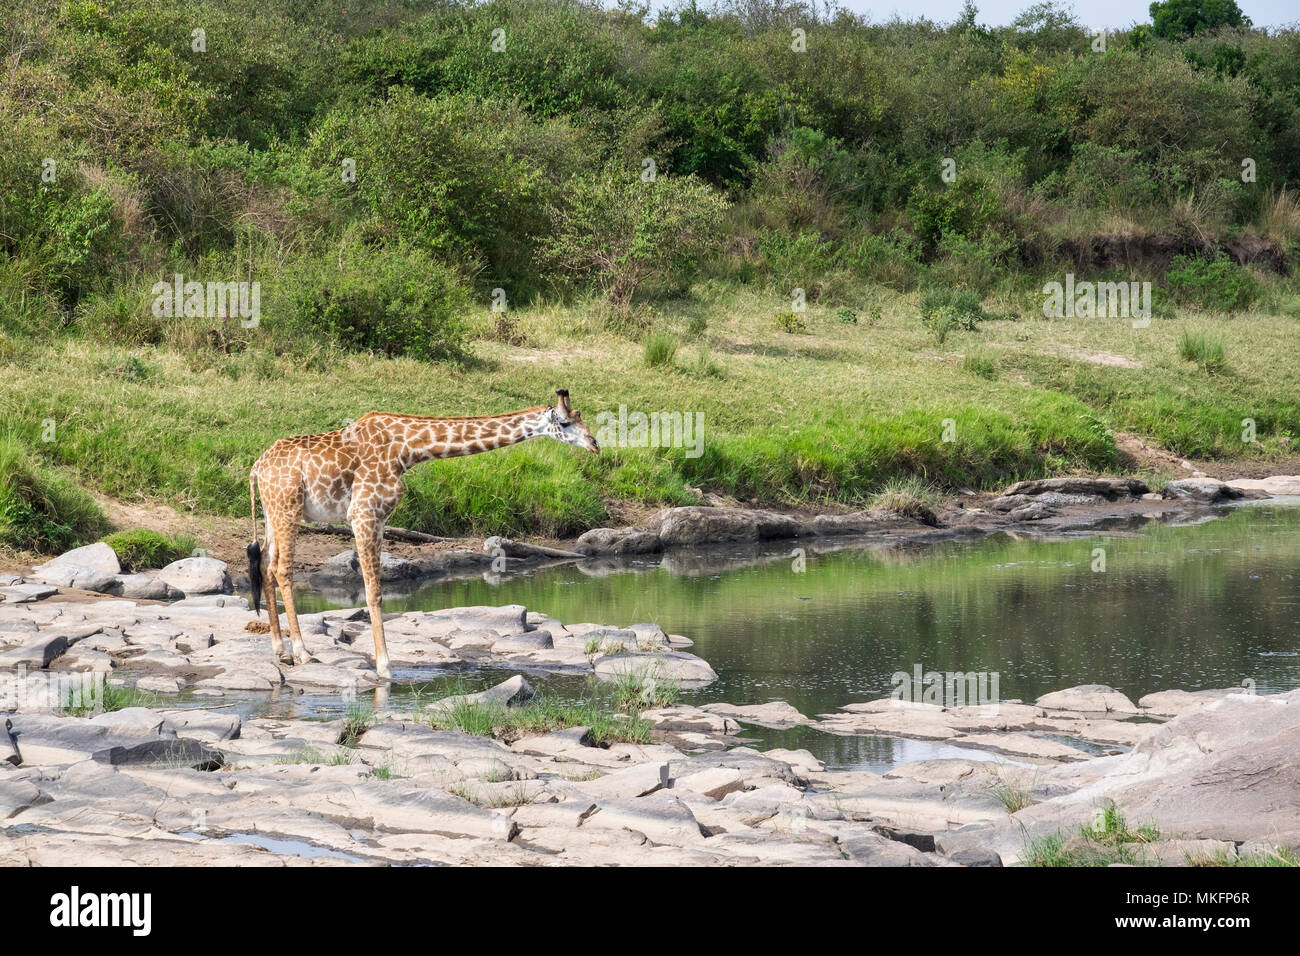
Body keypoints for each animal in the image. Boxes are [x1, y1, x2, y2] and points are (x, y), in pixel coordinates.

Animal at [247, 390, 599, 679]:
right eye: (565, 422)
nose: (595, 445)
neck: (408, 449)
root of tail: (256, 468)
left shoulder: (379, 518)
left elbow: (373, 589)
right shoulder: (364, 513)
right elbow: (374, 590)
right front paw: (385, 667)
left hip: (273, 512)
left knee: (265, 564)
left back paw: (280, 649)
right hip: (288, 509)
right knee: (282, 568)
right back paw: (303, 653)